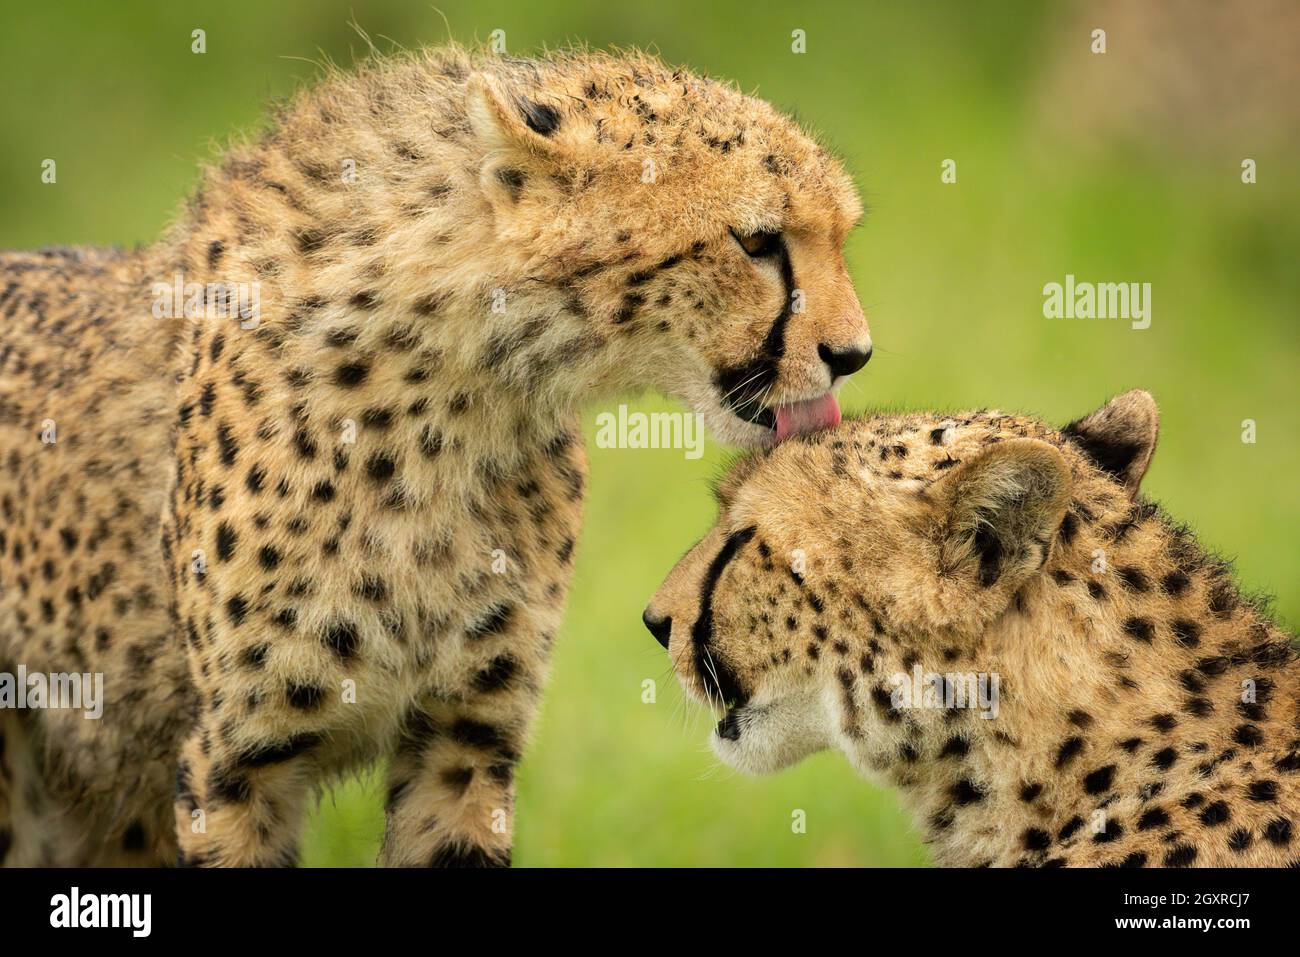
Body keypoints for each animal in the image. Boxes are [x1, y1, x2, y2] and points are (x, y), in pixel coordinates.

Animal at [0, 44, 872, 866]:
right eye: (756, 241)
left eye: (839, 236)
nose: (854, 354)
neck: (455, 390)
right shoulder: (237, 759)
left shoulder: (465, 737)